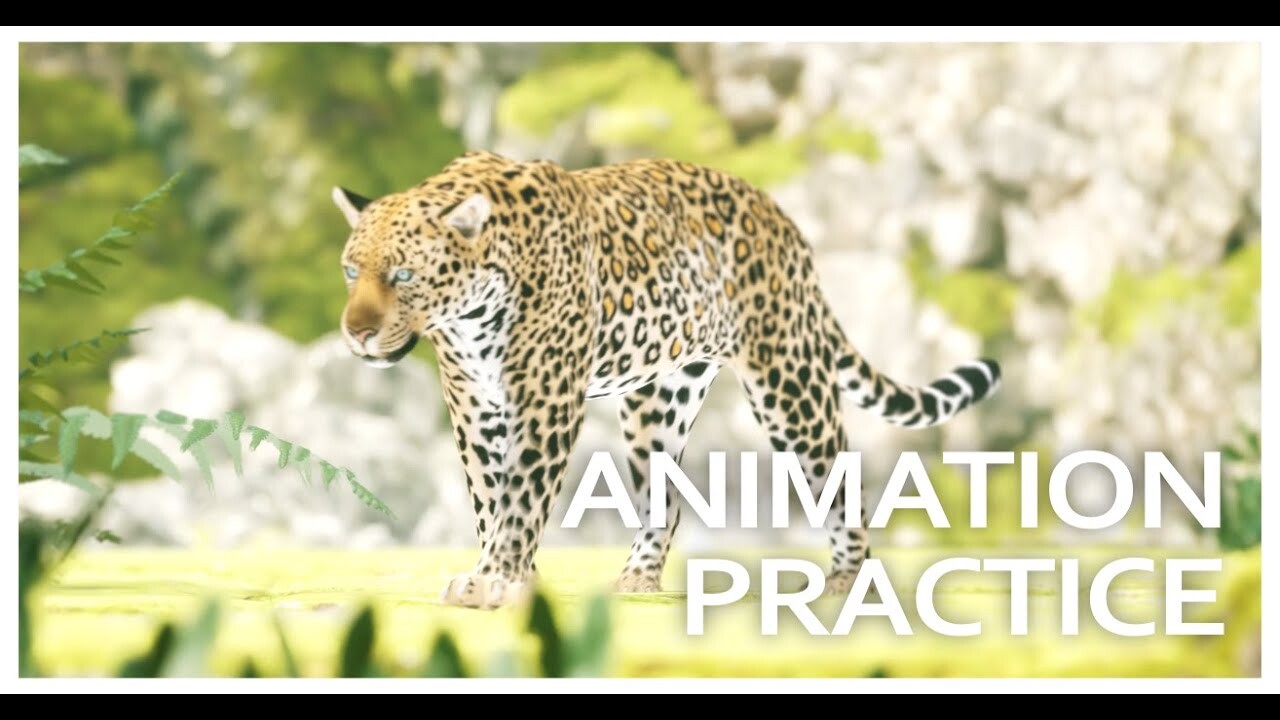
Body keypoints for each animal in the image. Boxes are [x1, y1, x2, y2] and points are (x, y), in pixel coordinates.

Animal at [333, 150, 1001, 609]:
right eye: (350, 271)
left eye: (403, 275)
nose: (357, 333)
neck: (472, 313)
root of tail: (783, 221)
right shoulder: (473, 402)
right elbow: (490, 494)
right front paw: (515, 579)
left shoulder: (544, 398)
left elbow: (522, 495)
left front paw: (496, 579)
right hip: (660, 400)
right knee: (667, 498)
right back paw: (638, 577)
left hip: (788, 377)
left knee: (837, 474)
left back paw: (847, 580)